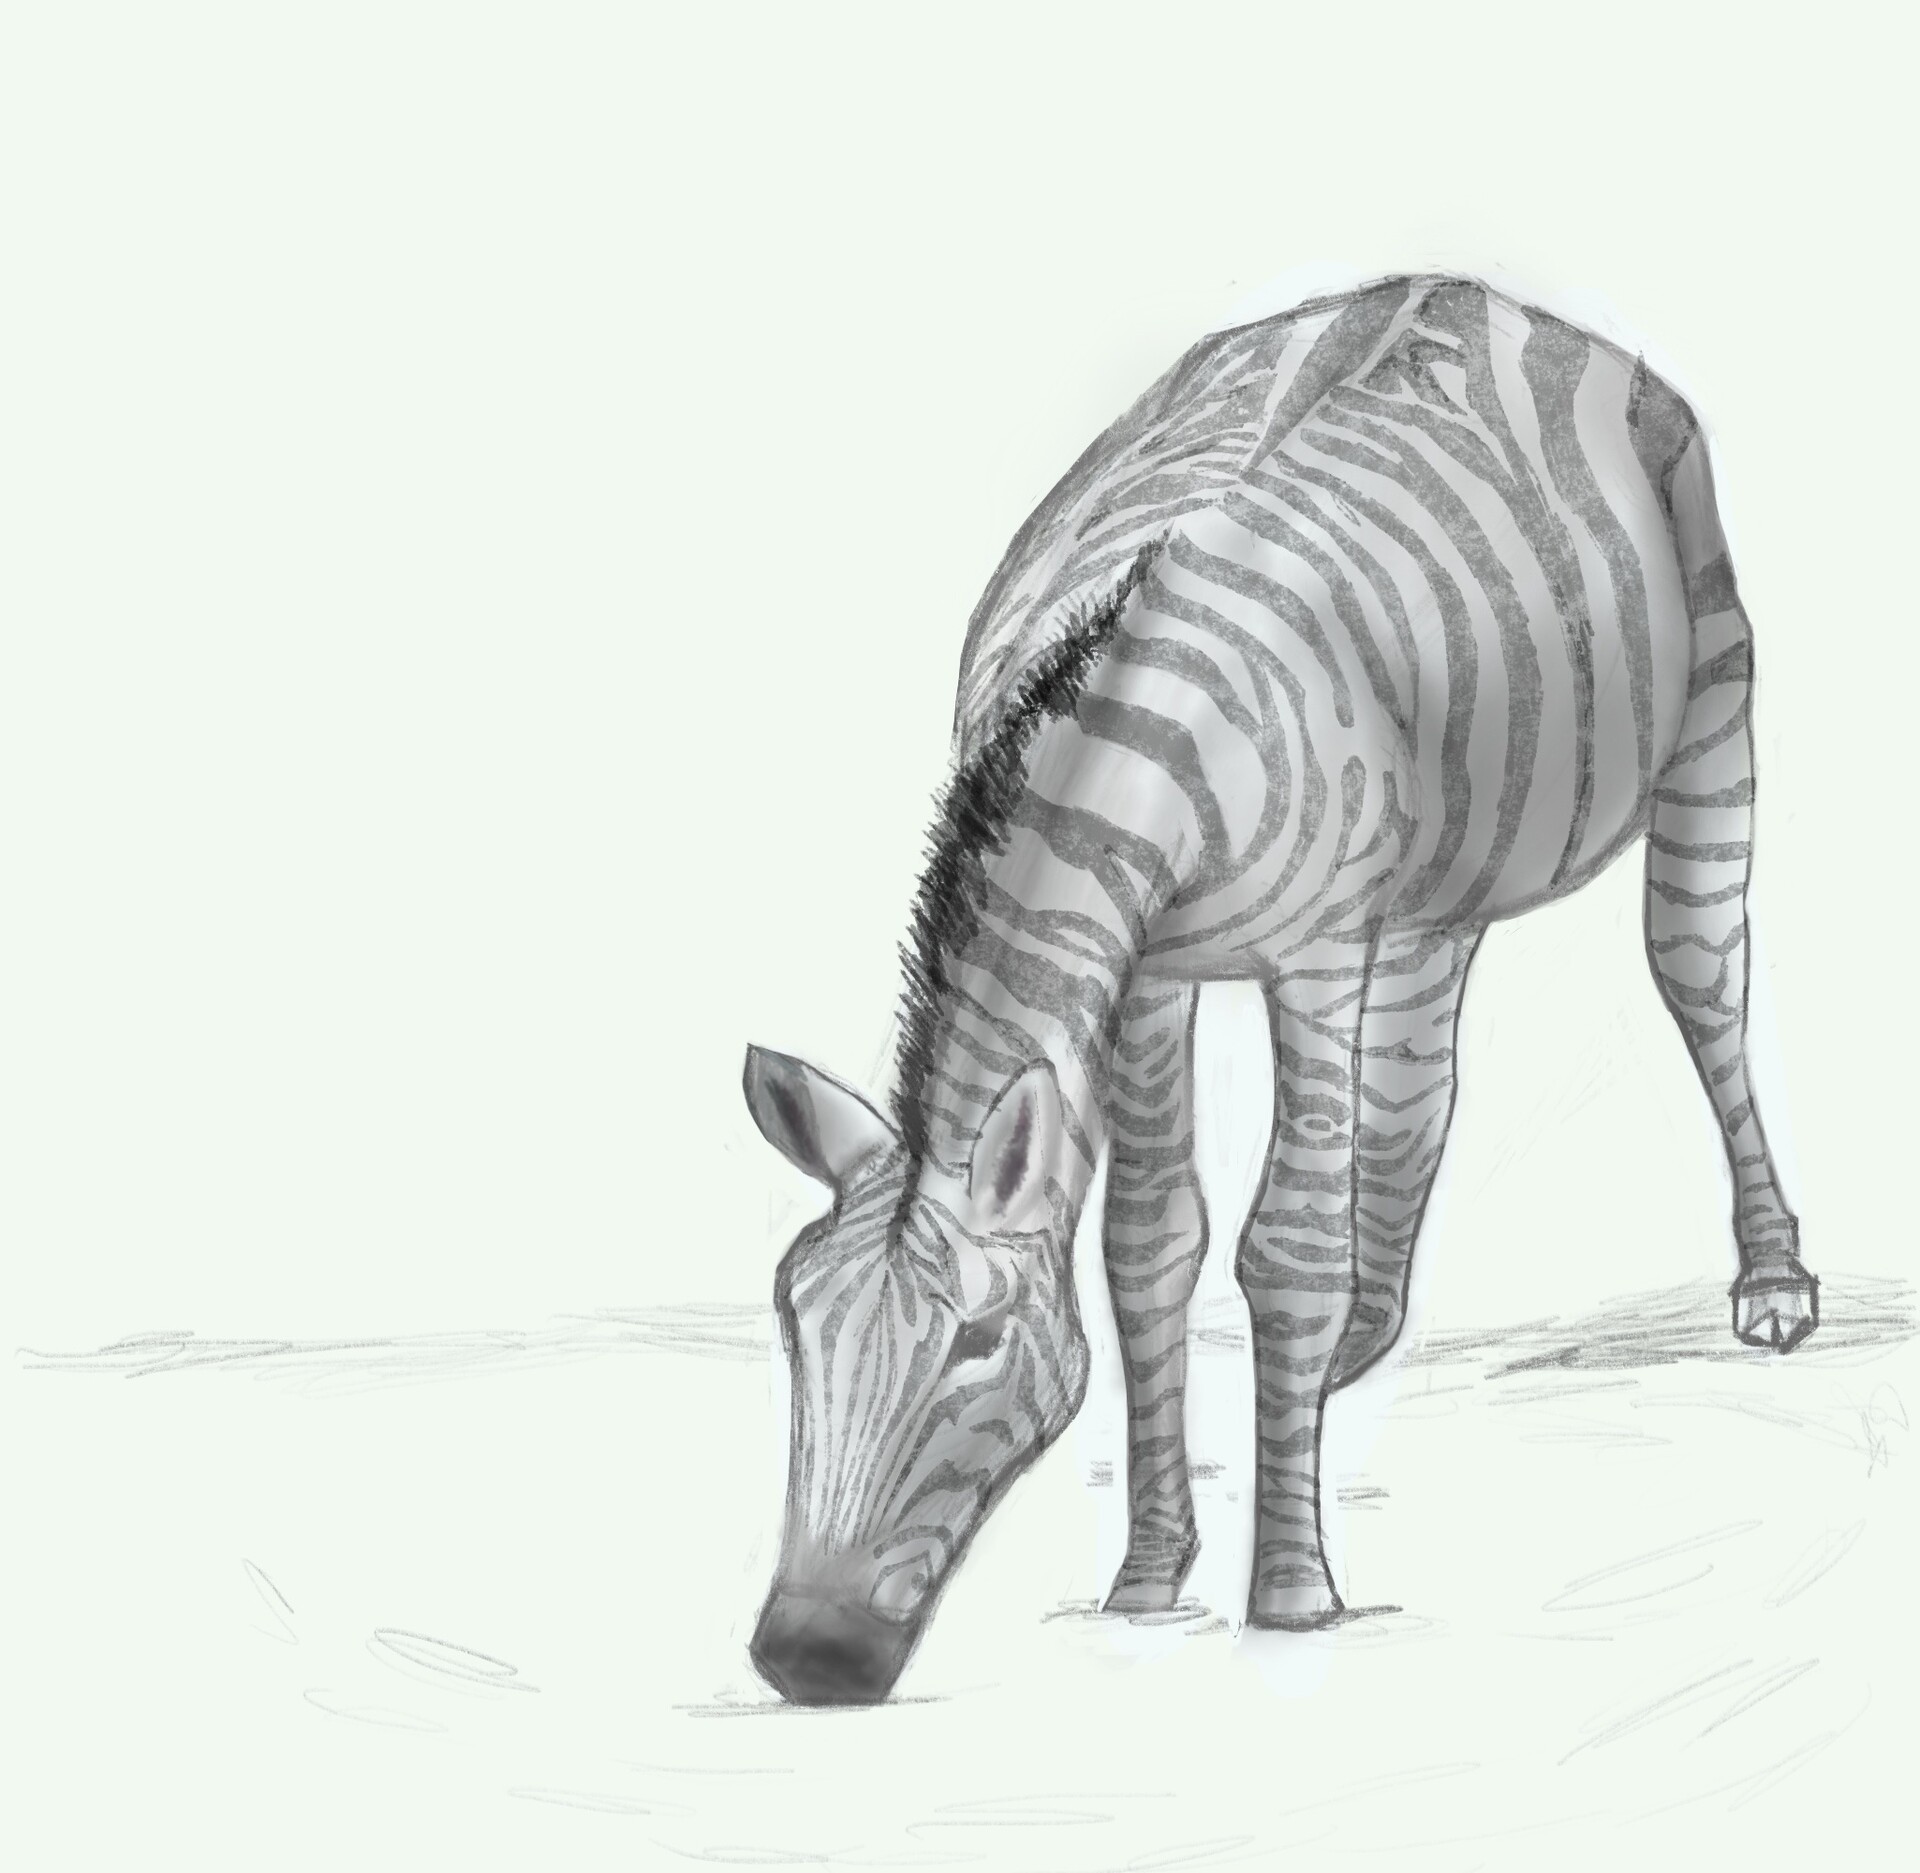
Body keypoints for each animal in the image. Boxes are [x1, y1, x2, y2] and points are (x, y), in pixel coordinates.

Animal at [740, 274, 1813, 1707]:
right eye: (793, 1326)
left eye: (976, 1339)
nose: (804, 1657)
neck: (1135, 709)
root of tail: (1491, 295)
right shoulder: (1151, 974)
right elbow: (1150, 1246)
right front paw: (1149, 1574)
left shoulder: (1314, 952)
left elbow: (1286, 1247)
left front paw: (1294, 1592)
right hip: (1437, 876)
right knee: (1418, 1076)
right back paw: (1363, 1337)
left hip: (1708, 708)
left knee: (1703, 983)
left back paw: (1773, 1280)